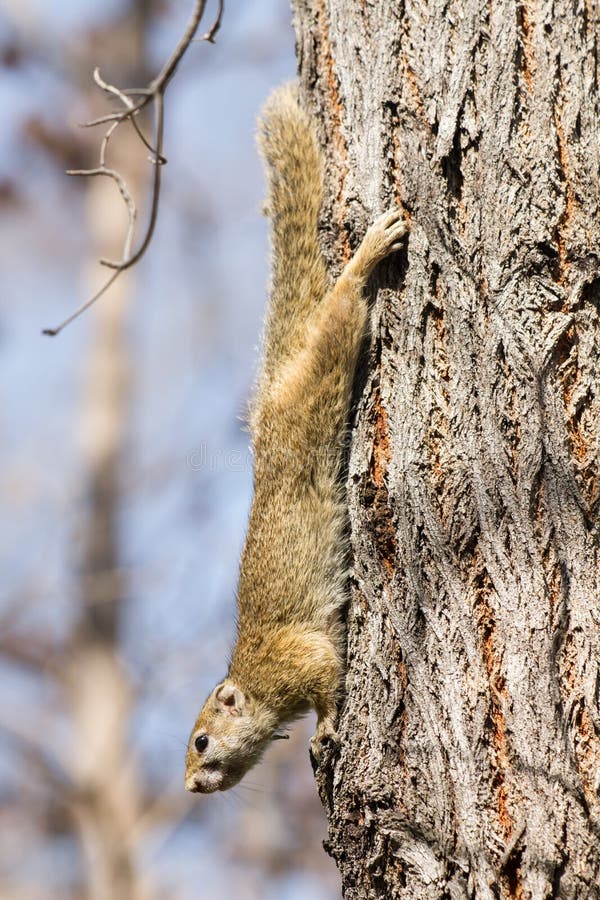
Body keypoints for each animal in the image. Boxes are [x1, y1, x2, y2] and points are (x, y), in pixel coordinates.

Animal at [185, 83, 408, 794]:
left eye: (201, 741)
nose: (192, 786)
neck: (255, 683)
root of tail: (269, 412)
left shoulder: (300, 657)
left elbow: (329, 679)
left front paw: (325, 731)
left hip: (320, 380)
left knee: (341, 309)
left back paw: (370, 250)